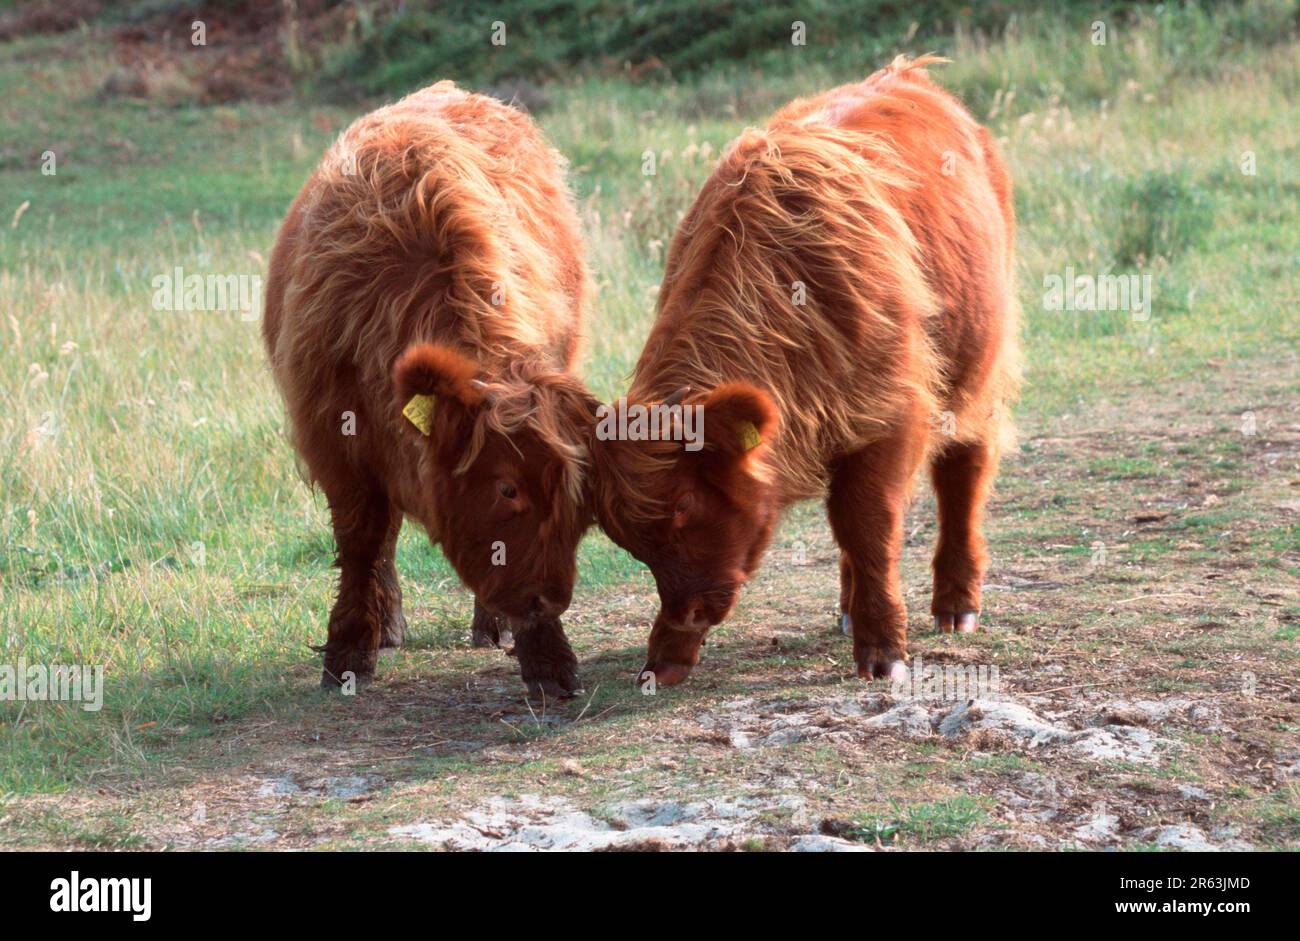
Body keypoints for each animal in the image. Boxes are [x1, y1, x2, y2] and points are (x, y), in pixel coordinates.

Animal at [262, 82, 598, 699]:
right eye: (506, 488)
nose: (553, 597)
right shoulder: (332, 437)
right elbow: (363, 539)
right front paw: (349, 651)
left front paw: (547, 659)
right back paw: (388, 625)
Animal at [590, 57, 1020, 686]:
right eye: (632, 542)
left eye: (685, 507)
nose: (691, 609)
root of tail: (908, 74)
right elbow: (850, 524)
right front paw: (666, 656)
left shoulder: (892, 411)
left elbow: (869, 523)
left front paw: (883, 651)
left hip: (978, 366)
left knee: (964, 470)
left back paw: (956, 603)